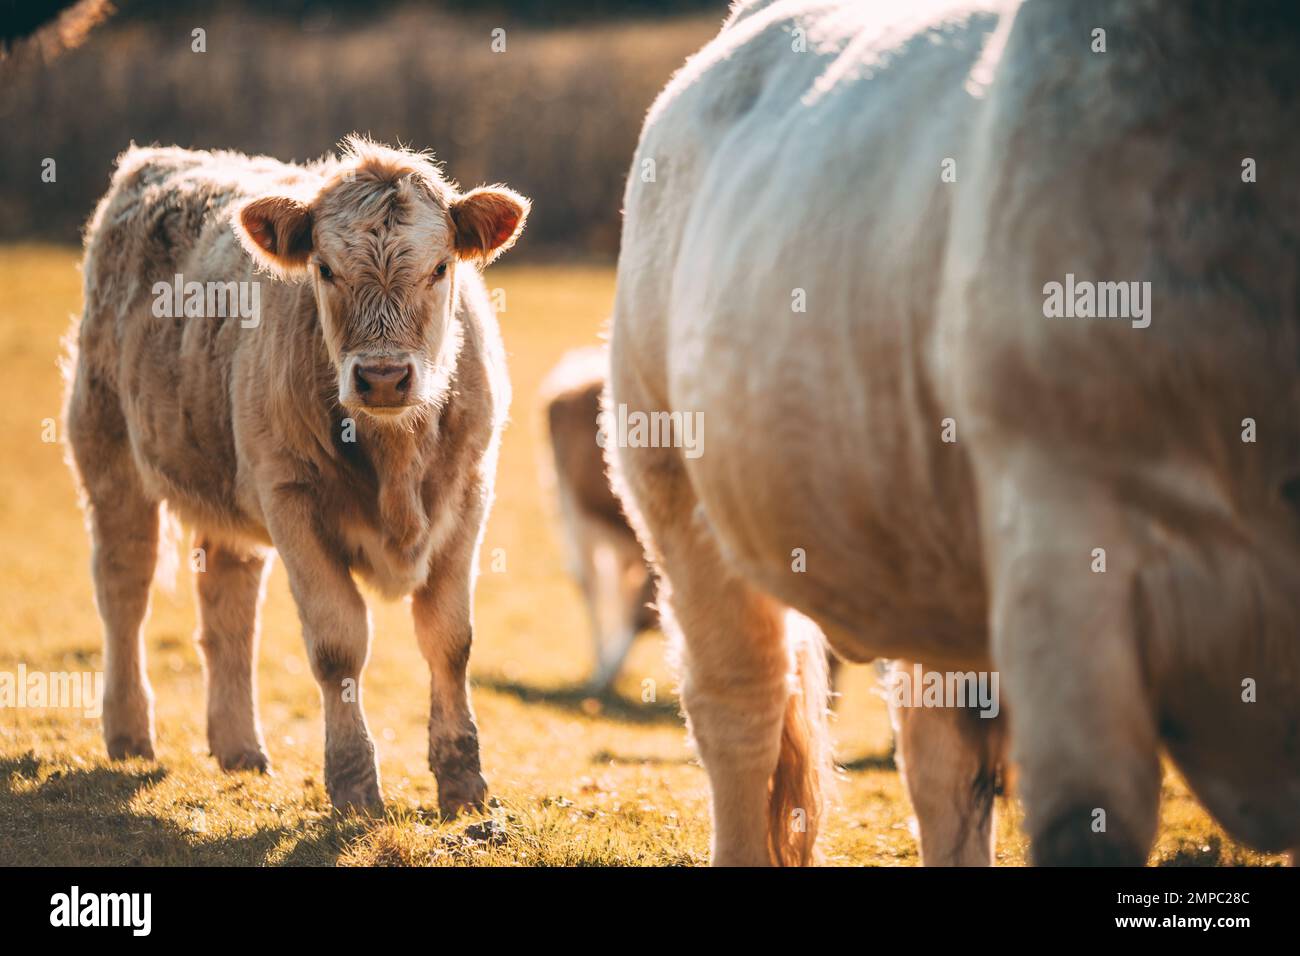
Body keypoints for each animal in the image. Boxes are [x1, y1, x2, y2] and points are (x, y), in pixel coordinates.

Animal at [65, 137, 529, 813]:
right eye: (326, 270)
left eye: (441, 267)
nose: (383, 377)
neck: (395, 456)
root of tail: (152, 160)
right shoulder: (291, 499)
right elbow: (338, 644)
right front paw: (355, 784)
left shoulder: (469, 493)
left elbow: (450, 638)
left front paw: (463, 782)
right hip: (108, 454)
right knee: (125, 590)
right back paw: (129, 734)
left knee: (228, 606)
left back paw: (239, 746)